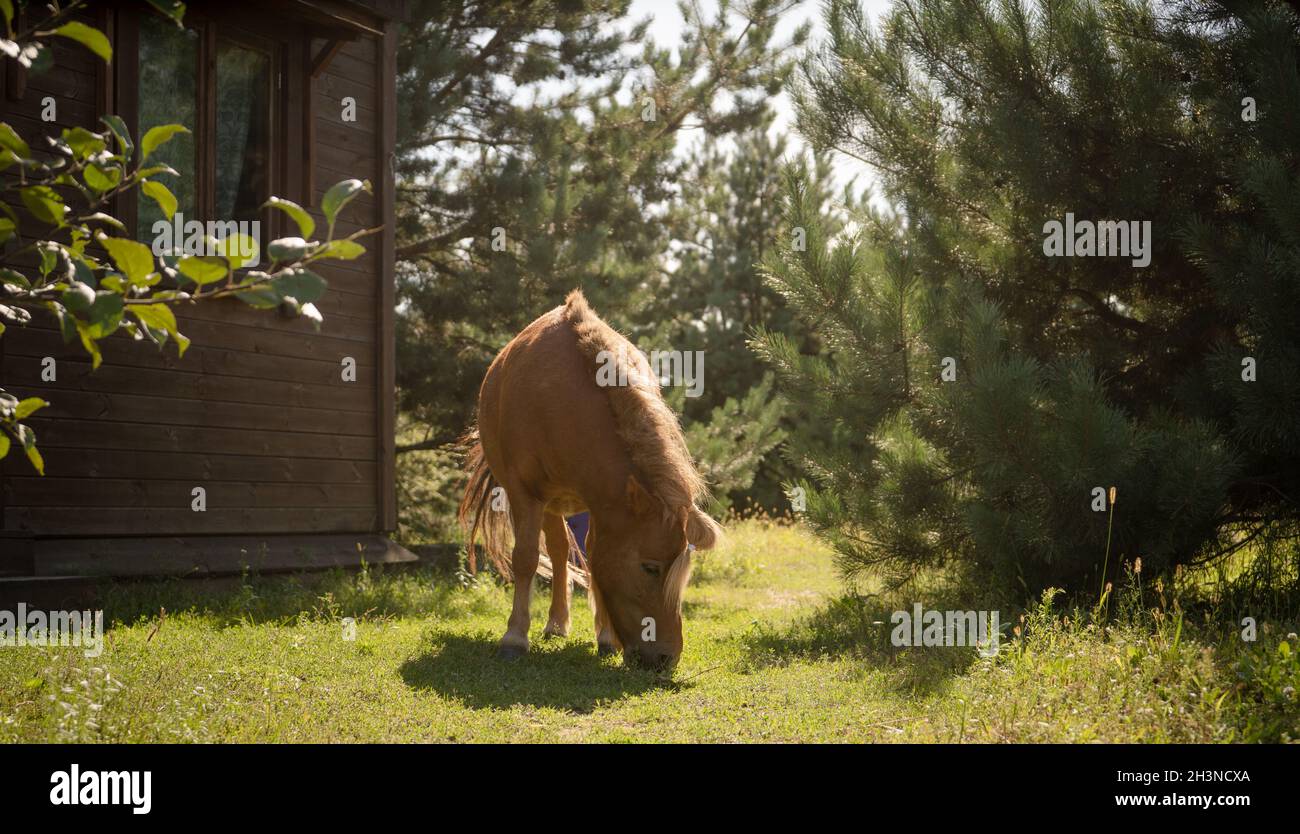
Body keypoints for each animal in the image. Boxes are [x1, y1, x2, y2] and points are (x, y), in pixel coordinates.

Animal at [458, 289, 722, 671]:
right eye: (650, 568)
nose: (666, 658)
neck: (562, 403)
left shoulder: (603, 503)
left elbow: (595, 557)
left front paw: (606, 638)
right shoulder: (525, 494)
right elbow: (525, 558)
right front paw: (515, 637)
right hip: (546, 503)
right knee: (554, 550)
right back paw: (555, 623)